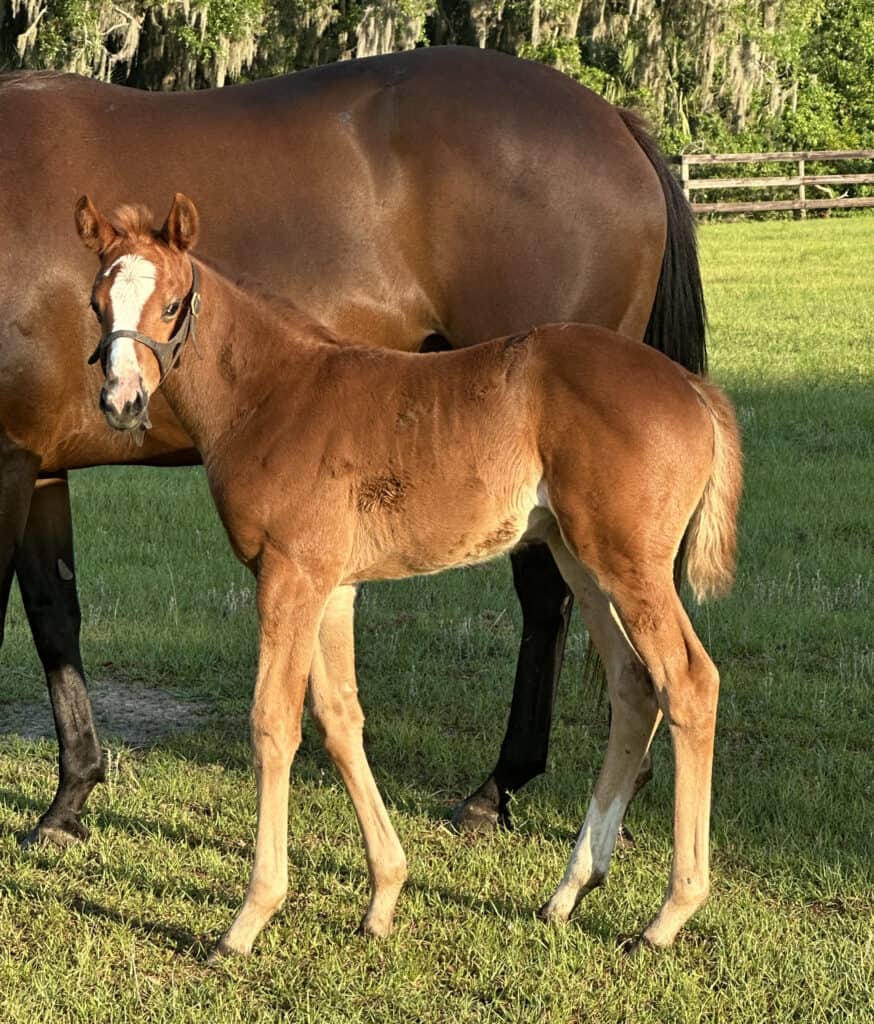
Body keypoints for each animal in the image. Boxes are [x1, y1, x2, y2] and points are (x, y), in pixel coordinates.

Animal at [0, 47, 706, 848]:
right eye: (94, 304)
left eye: (174, 303)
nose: (121, 399)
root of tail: (613, 121)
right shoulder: (40, 462)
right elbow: (55, 615)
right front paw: (70, 798)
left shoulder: (6, 459)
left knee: (547, 599)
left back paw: (498, 789)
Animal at [74, 192, 739, 955]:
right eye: (97, 303)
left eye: (172, 303)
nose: (121, 400)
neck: (271, 395)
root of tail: (692, 387)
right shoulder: (332, 586)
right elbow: (340, 719)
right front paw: (385, 895)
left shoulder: (289, 576)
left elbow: (273, 723)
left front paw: (248, 919)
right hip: (582, 558)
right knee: (635, 687)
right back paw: (570, 889)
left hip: (629, 564)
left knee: (688, 683)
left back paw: (669, 914)